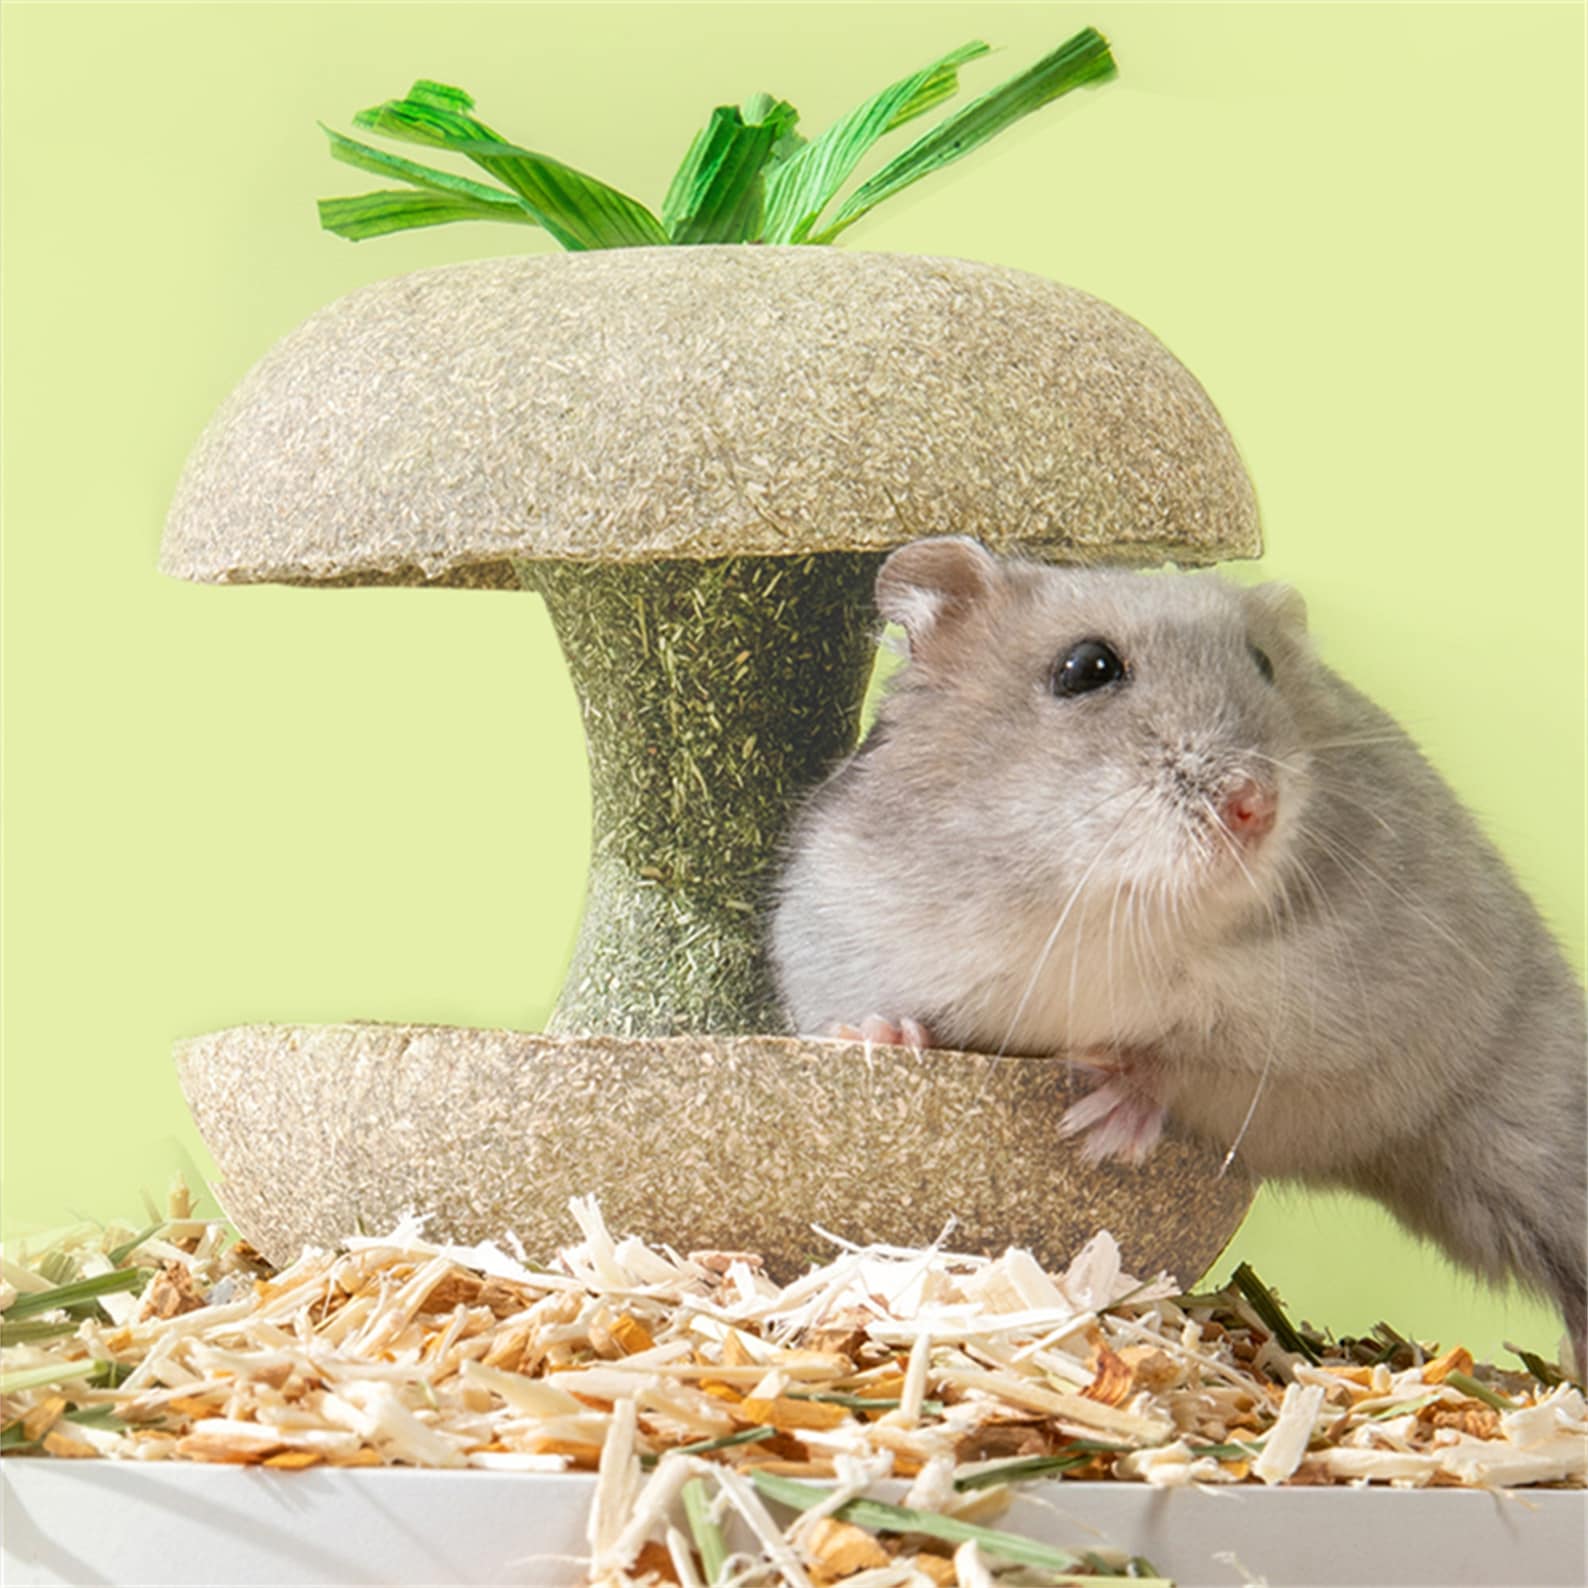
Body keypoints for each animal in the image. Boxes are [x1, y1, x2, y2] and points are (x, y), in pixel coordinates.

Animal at [769, 536, 1587, 1364]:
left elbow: (1193, 1064)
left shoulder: (1329, 1053)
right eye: (1086, 667)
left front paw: (1100, 1126)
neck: (1106, 907)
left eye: (1264, 664)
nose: (1254, 804)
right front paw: (878, 1039)